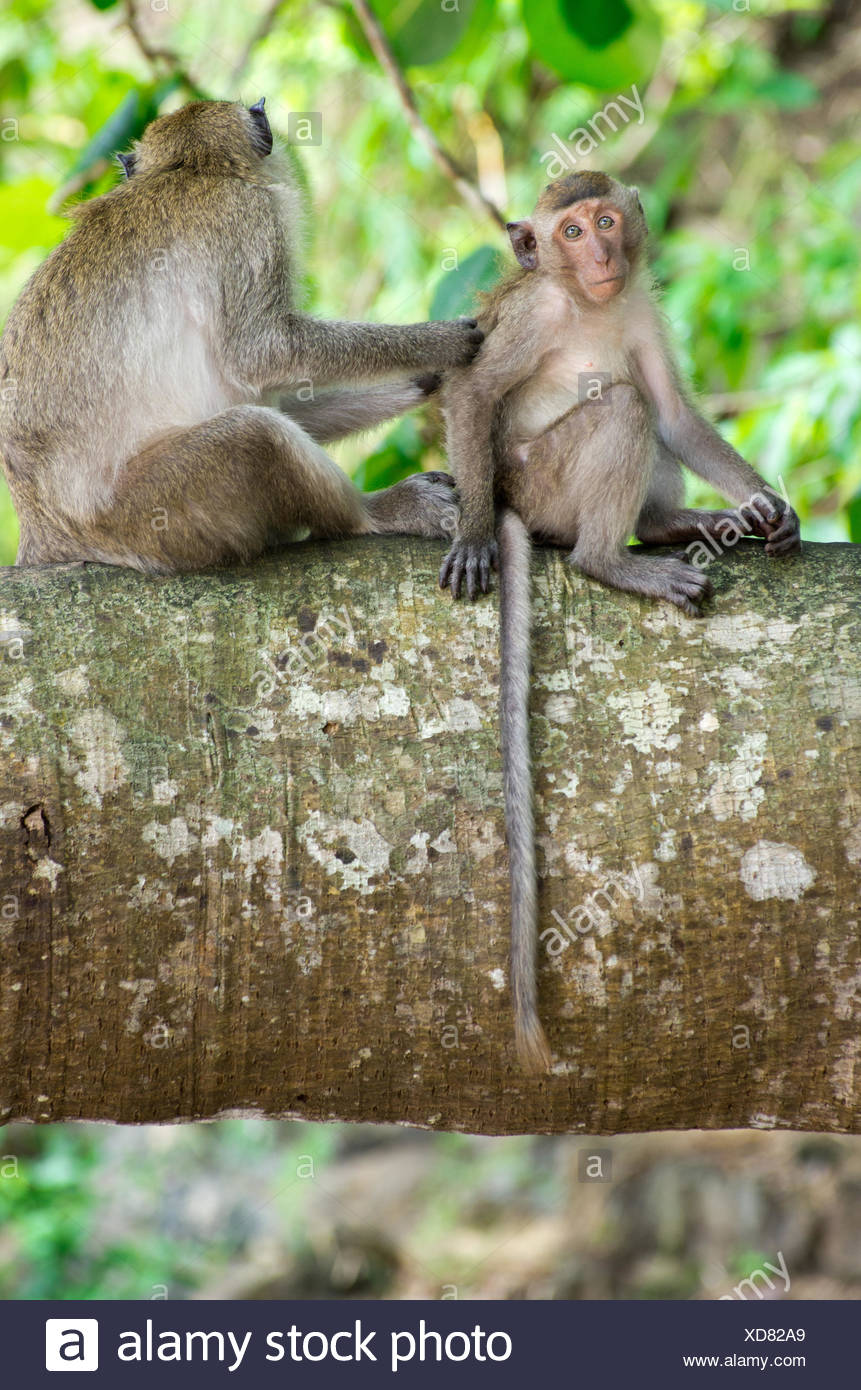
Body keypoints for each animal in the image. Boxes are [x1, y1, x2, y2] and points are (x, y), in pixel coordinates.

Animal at [0, 99, 485, 573]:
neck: (192, 168)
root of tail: (44, 535)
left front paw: (424, 378)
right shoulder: (251, 219)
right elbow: (264, 354)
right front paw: (439, 342)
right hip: (145, 515)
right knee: (256, 433)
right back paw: (373, 514)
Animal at [438, 171, 801, 1073]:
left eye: (605, 221)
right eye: (569, 232)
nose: (600, 254)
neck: (585, 304)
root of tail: (515, 502)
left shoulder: (636, 306)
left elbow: (674, 411)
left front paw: (770, 510)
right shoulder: (534, 314)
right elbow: (474, 392)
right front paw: (470, 537)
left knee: (640, 403)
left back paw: (670, 525)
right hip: (540, 484)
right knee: (617, 410)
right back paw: (608, 559)